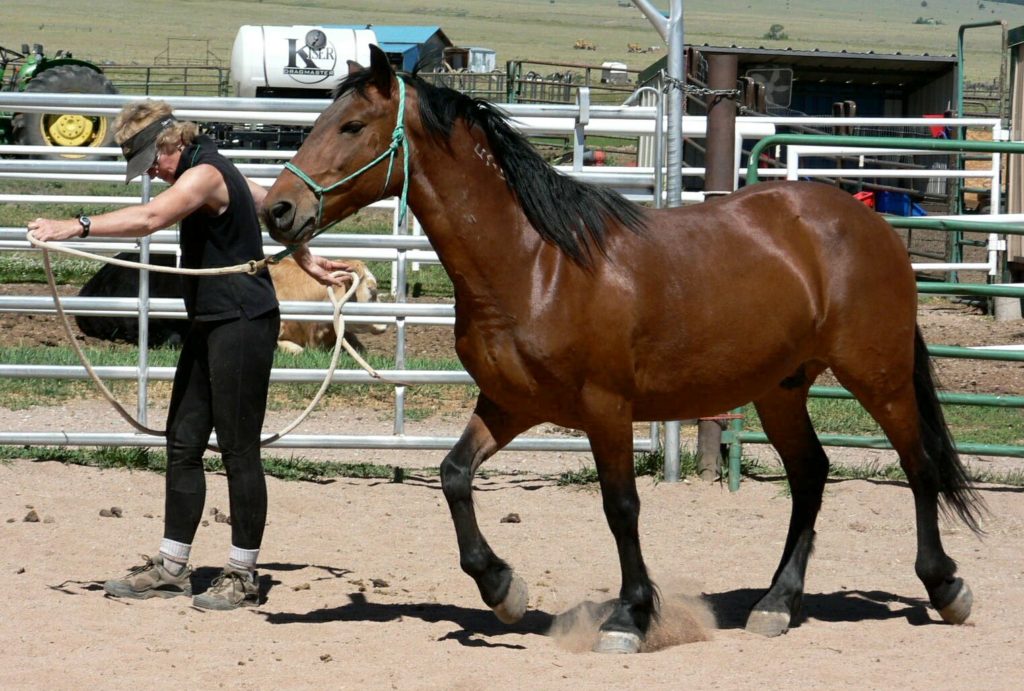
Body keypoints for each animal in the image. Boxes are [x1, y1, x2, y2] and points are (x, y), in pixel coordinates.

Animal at [262, 45, 983, 653]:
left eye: (352, 125)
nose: (278, 210)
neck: (535, 264)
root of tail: (867, 224)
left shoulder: (606, 408)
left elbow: (621, 507)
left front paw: (629, 616)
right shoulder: (511, 403)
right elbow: (453, 475)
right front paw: (503, 589)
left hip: (878, 375)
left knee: (918, 466)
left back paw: (946, 586)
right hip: (780, 389)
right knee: (811, 475)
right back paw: (777, 604)